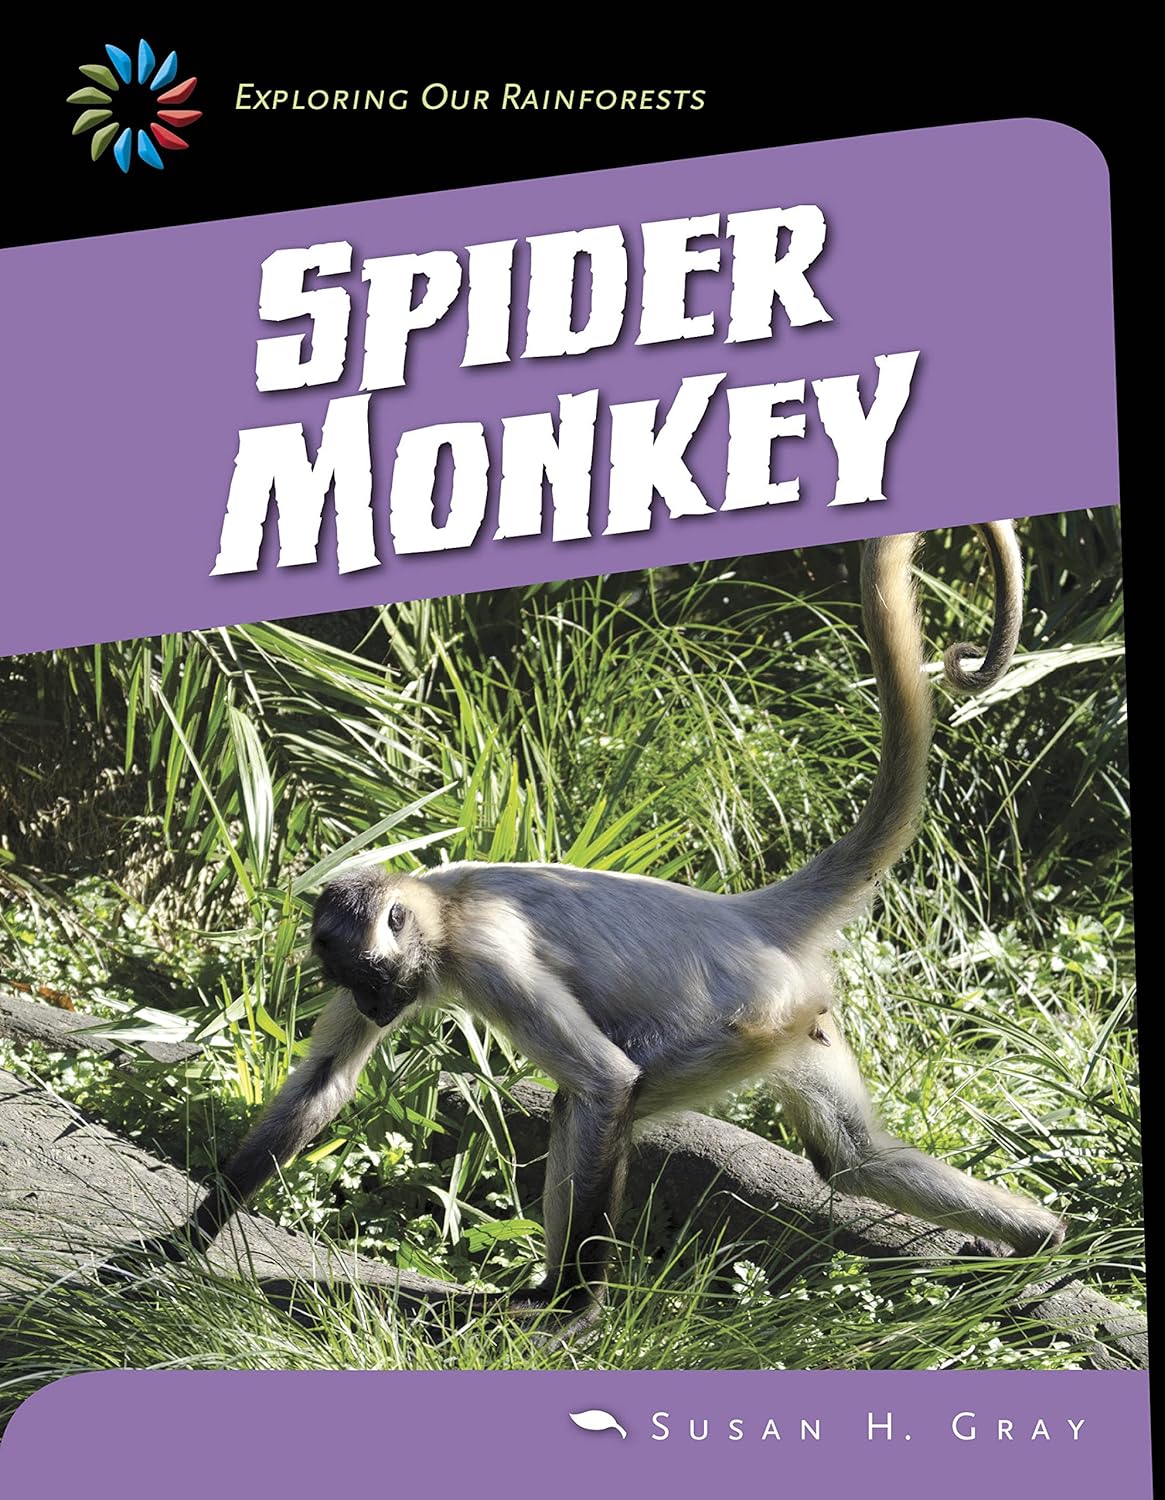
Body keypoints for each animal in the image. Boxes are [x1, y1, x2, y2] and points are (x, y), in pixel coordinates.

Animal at [186, 522, 1065, 1319]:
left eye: (371, 975)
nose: (372, 1006)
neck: (444, 906)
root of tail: (738, 913)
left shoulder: (484, 951)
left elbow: (606, 1081)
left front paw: (578, 1309)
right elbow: (323, 1086)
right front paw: (182, 1239)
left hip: (737, 1022)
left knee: (590, 1099)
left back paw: (564, 1296)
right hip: (797, 1017)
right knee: (850, 1159)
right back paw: (1043, 1239)